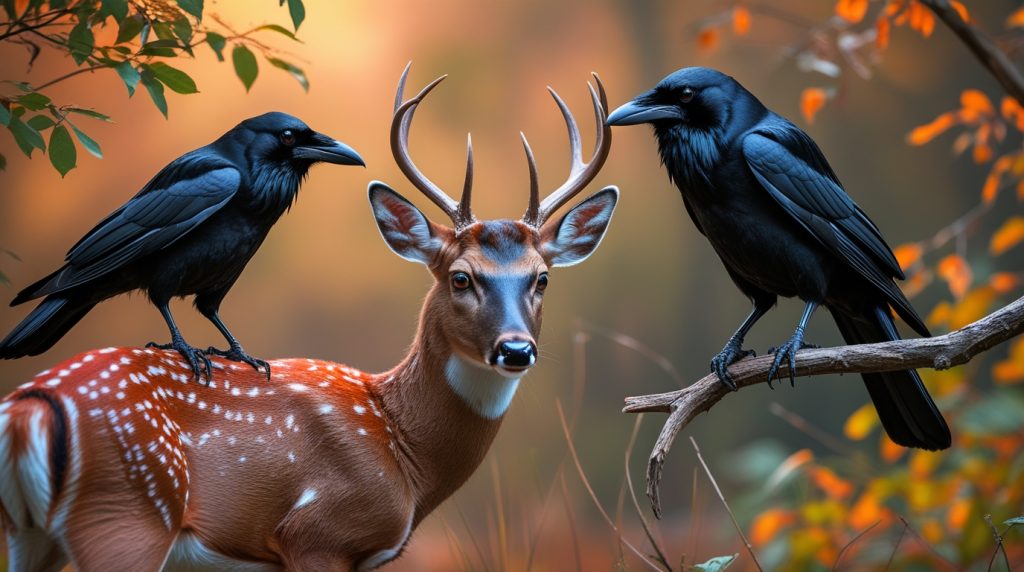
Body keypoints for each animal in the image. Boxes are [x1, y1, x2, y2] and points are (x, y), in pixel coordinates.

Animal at [0, 64, 618, 571]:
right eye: (461, 277)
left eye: (542, 278)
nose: (515, 349)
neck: (404, 452)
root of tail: (29, 408)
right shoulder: (317, 535)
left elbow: (212, 308)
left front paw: (242, 355)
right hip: (126, 516)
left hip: (34, 536)